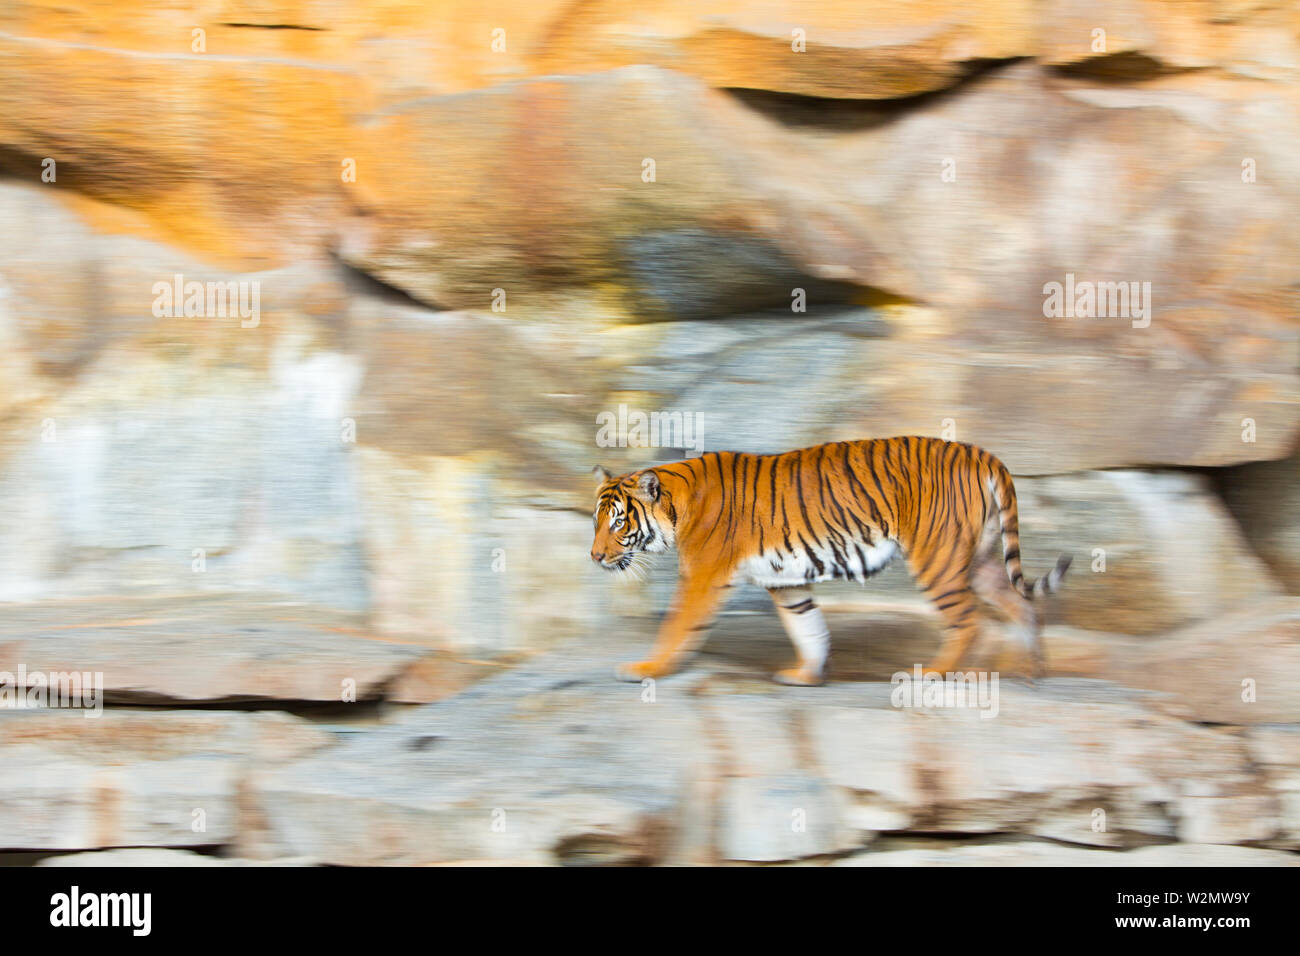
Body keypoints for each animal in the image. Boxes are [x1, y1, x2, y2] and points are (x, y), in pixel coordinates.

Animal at [591, 436, 1071, 685]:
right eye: (596, 521)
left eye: (618, 523)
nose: (594, 556)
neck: (679, 504)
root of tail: (982, 453)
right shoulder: (786, 582)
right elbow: (809, 629)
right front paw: (805, 674)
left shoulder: (702, 576)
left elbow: (676, 626)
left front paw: (648, 668)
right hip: (978, 558)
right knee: (1022, 604)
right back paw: (1035, 670)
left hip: (938, 557)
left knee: (970, 620)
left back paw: (931, 673)